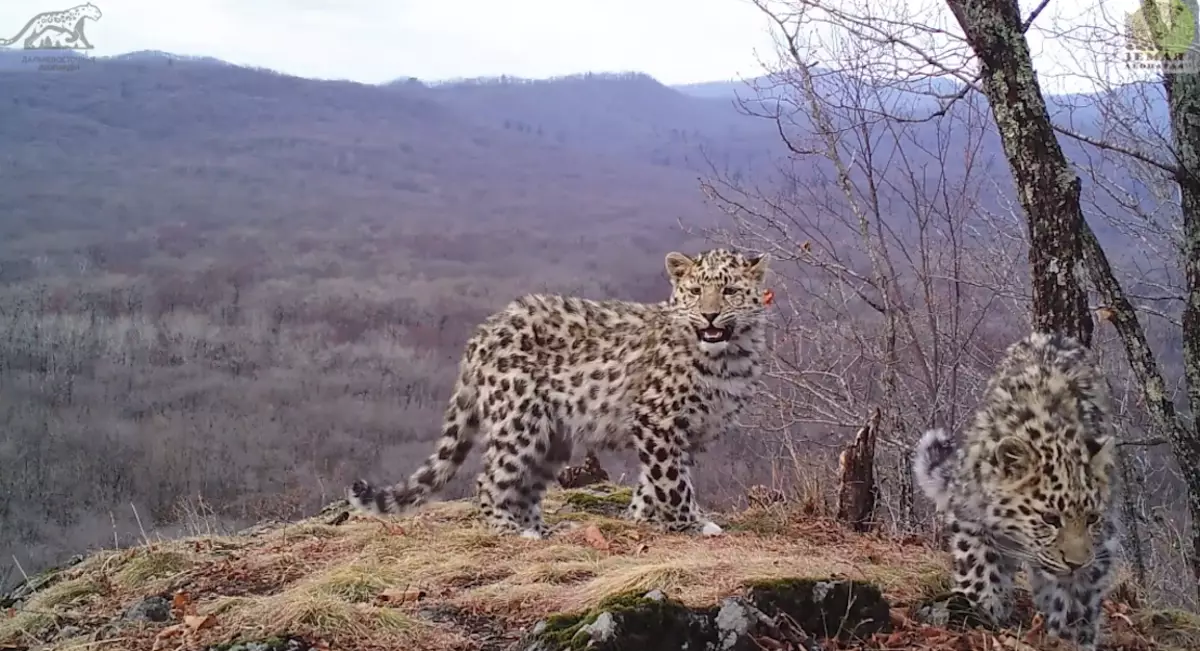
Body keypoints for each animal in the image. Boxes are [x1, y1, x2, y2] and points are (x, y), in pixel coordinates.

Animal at [350, 248, 772, 540]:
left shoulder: (693, 431)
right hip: (518, 421)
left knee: (526, 487)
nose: (710, 315)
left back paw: (543, 530)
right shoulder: (659, 420)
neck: (728, 360)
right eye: (696, 291)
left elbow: (654, 482)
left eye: (730, 291)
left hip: (552, 438)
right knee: (491, 480)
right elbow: (671, 481)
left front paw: (640, 517)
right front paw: (690, 524)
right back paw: (510, 530)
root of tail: (483, 332)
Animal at [912, 333, 1118, 648]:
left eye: (1092, 518)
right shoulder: (970, 514)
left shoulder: (1101, 545)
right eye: (1049, 518)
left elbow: (1078, 597)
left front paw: (1070, 635)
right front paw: (984, 605)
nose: (1075, 563)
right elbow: (979, 563)